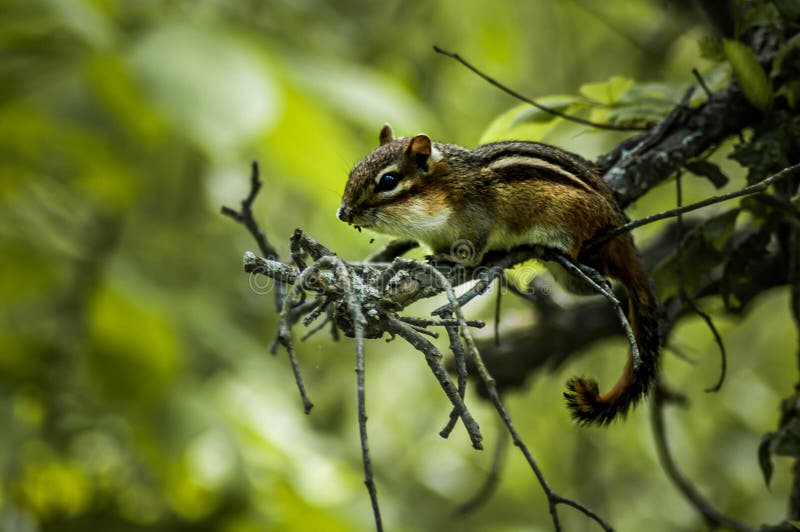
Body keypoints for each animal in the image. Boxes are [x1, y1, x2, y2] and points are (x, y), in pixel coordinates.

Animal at [337, 124, 661, 425]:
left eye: (388, 181)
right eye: (354, 171)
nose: (343, 213)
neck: (443, 189)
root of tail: (620, 229)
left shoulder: (476, 222)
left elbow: (471, 251)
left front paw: (451, 259)